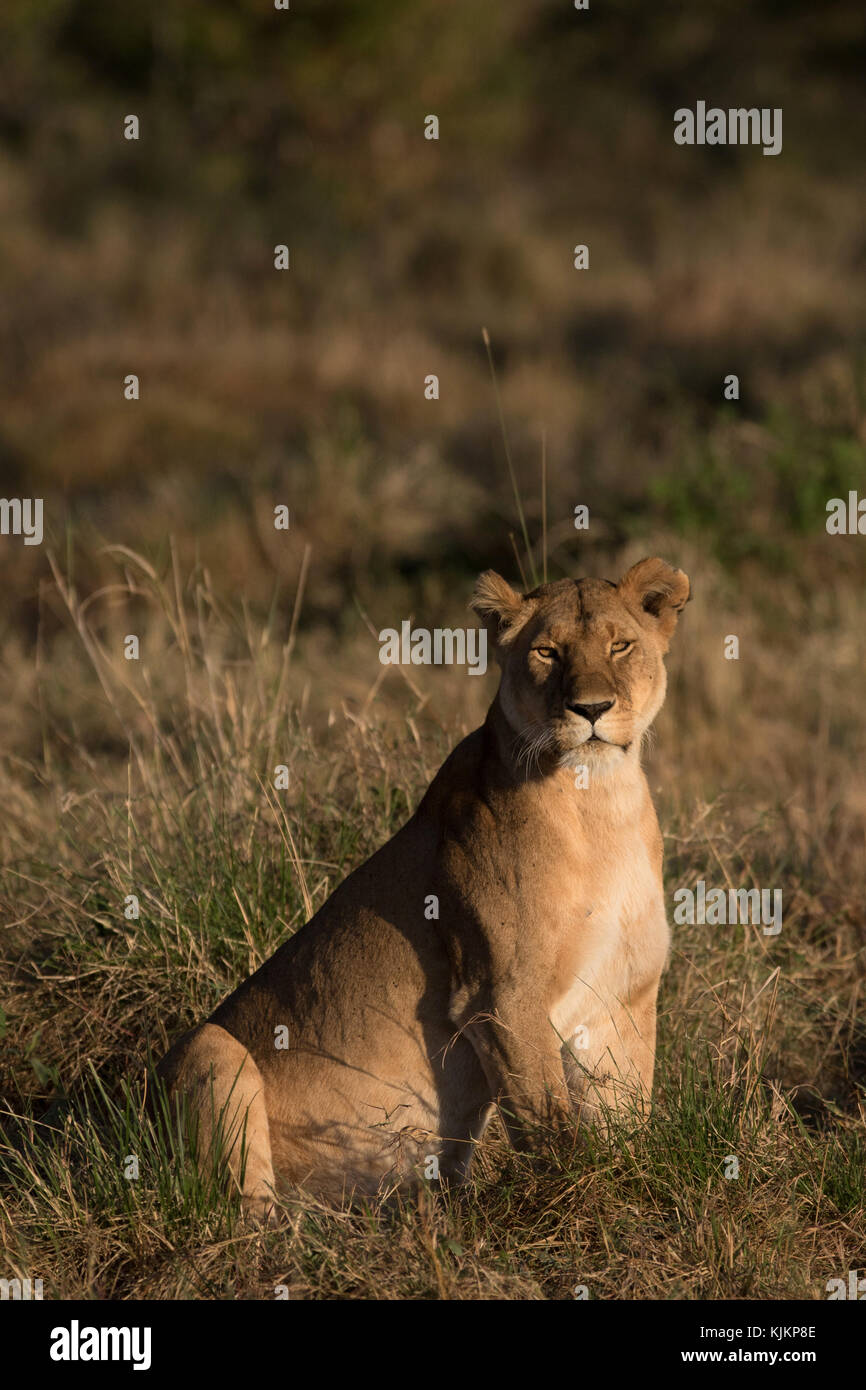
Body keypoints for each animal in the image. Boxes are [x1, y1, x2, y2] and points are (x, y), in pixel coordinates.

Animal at [156, 556, 690, 1217]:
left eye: (620, 646)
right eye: (546, 652)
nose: (590, 708)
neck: (600, 804)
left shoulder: (621, 994)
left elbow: (624, 1113)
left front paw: (633, 1189)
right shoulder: (500, 993)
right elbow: (549, 1124)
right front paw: (582, 1204)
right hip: (208, 1048)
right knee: (238, 1217)